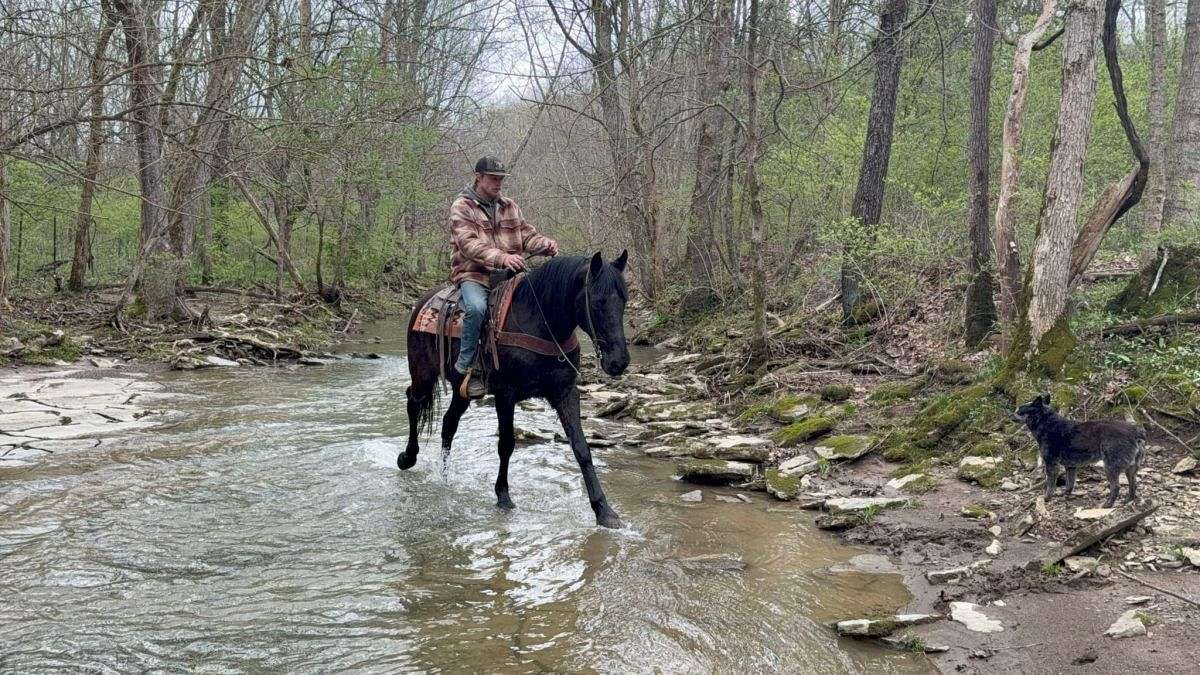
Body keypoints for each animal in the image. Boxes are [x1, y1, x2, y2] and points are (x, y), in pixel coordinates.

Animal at [398, 251, 631, 528]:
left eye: (624, 300)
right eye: (597, 302)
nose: (618, 362)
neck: (541, 323)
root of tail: (423, 302)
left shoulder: (565, 393)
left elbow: (581, 448)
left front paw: (604, 510)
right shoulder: (506, 395)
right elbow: (506, 444)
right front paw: (503, 496)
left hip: (461, 389)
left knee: (448, 423)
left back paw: (444, 476)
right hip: (423, 374)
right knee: (413, 402)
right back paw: (407, 458)